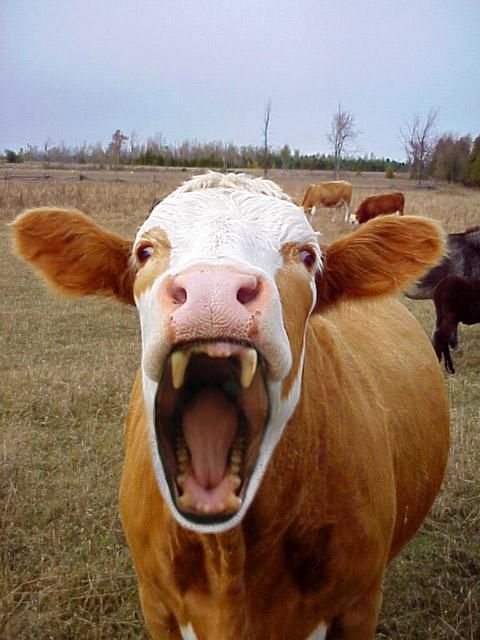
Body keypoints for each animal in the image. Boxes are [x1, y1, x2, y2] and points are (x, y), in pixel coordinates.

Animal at [11, 172, 449, 640]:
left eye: (307, 255)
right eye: (145, 251)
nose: (213, 290)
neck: (228, 554)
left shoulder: (359, 604)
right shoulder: (156, 604)